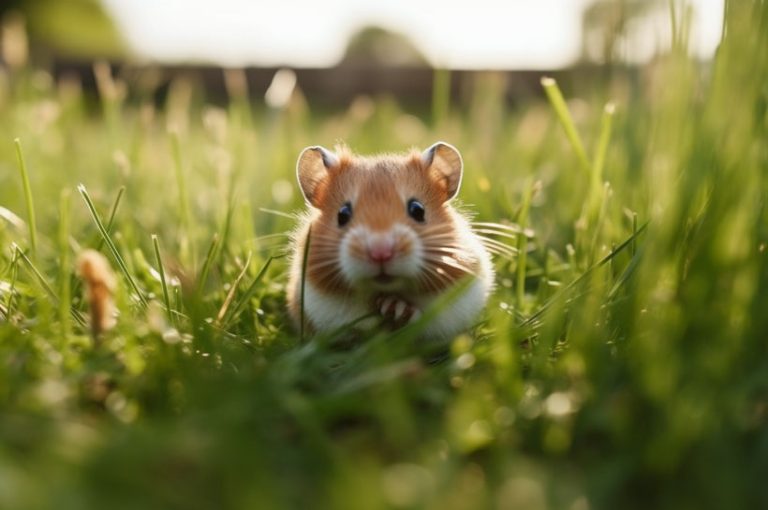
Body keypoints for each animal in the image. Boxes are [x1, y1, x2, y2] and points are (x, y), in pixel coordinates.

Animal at [286, 142, 494, 339]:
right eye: (342, 215)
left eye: (418, 210)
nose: (381, 252)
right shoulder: (323, 304)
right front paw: (388, 310)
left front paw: (397, 310)